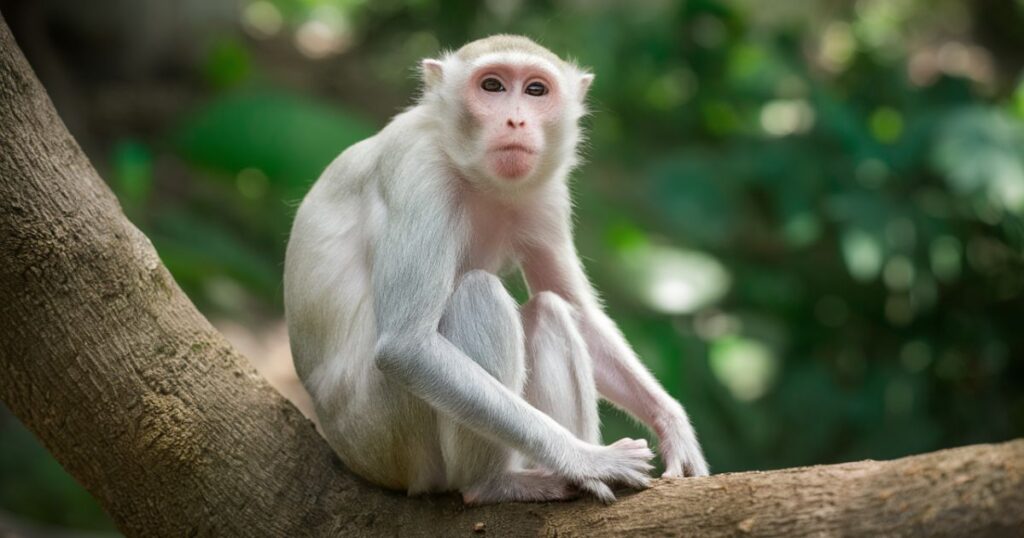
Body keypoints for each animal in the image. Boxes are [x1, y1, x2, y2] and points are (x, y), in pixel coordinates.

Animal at [283, 35, 708, 504]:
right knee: (476, 294)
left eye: (536, 90)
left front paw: (672, 423)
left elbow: (581, 312)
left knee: (550, 311)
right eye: (492, 86)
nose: (516, 120)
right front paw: (586, 458)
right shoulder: (419, 174)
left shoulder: (547, 193)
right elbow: (405, 346)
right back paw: (495, 482)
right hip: (391, 437)